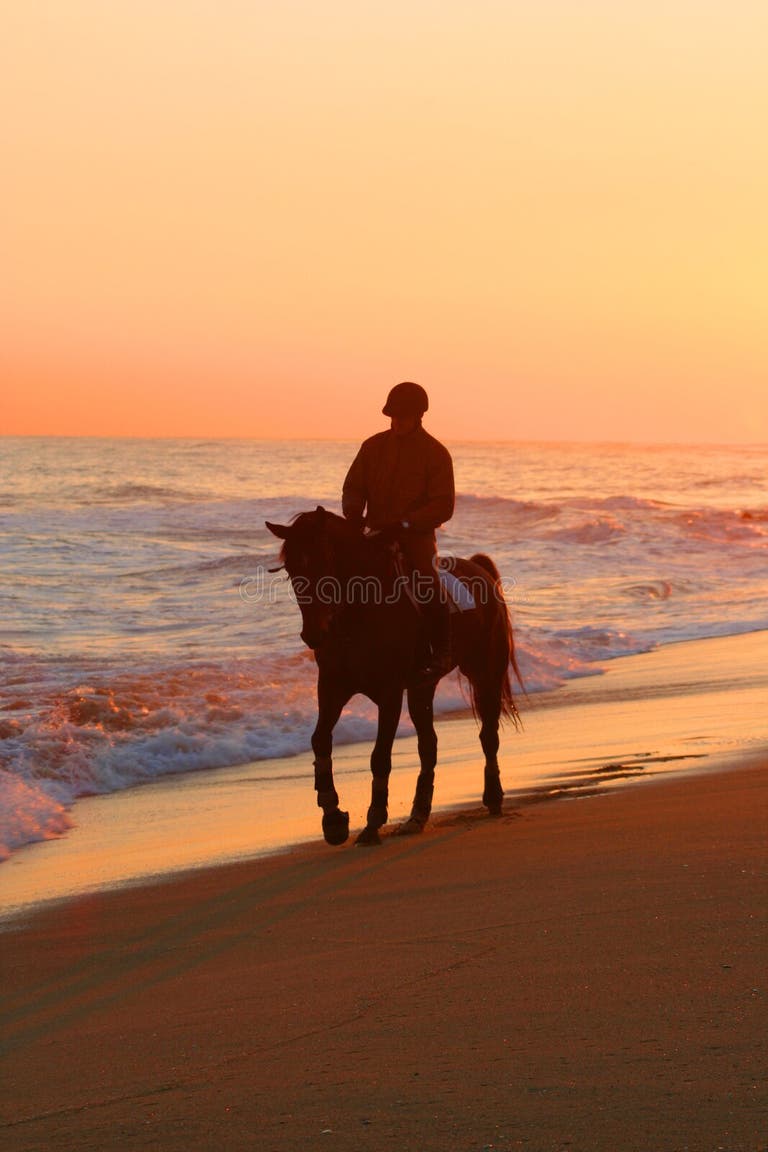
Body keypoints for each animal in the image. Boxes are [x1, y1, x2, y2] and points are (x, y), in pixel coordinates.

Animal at [266, 507, 522, 846]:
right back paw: (417, 816)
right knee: (429, 745)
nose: (313, 635)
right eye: (292, 569)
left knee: (488, 735)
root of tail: (479, 567)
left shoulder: (389, 694)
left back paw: (493, 798)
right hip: (422, 688)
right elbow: (320, 740)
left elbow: (379, 756)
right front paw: (333, 818)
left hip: (485, 673)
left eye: (324, 561)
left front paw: (373, 821)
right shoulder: (332, 687)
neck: (359, 612)